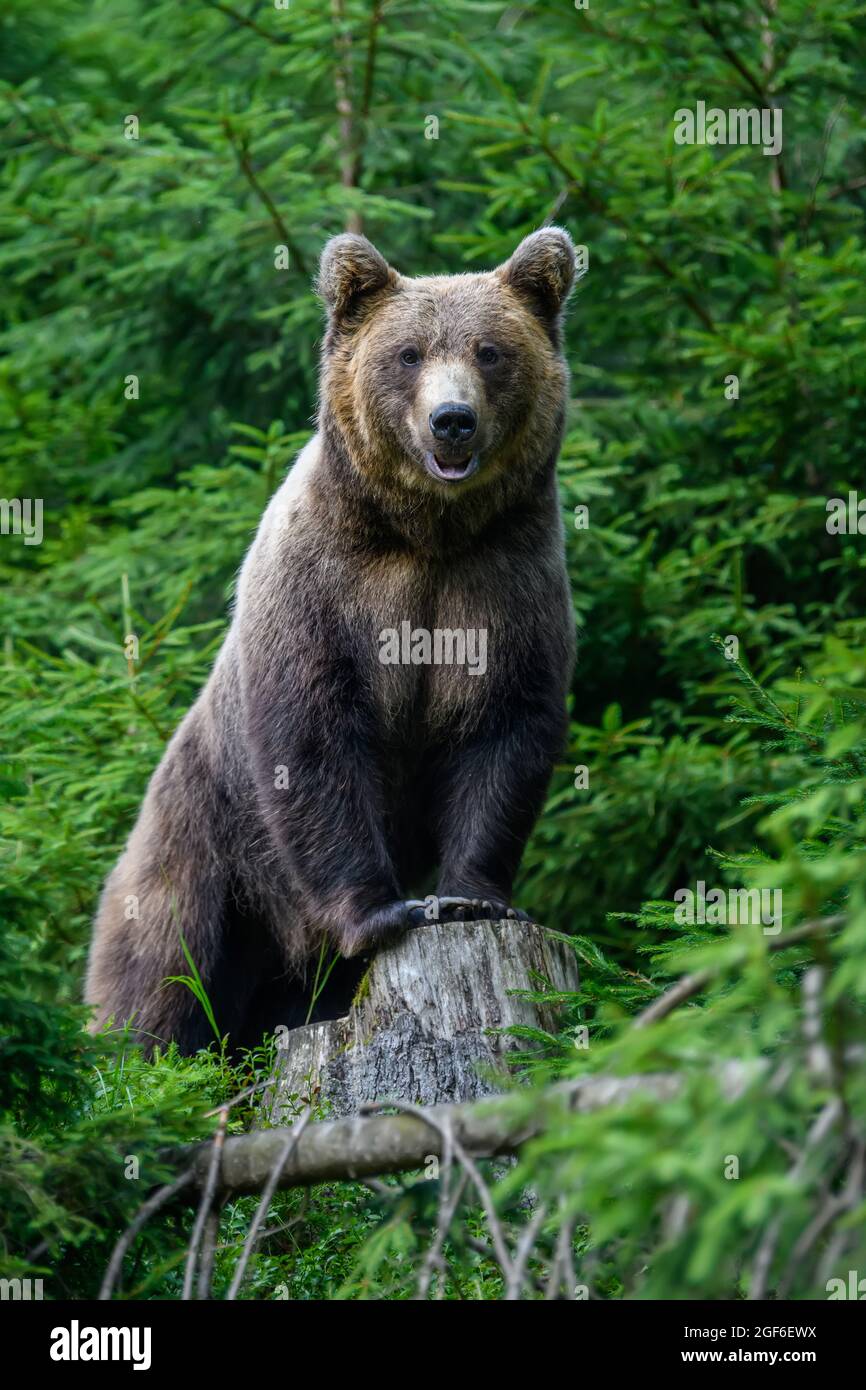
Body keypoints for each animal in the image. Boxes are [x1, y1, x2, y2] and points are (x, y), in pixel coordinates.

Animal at [85, 227, 578, 1055]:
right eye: (408, 353)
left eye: (489, 351)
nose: (452, 420)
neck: (427, 534)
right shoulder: (322, 591)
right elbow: (315, 743)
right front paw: (382, 911)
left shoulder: (505, 585)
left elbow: (503, 732)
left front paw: (473, 898)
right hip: (201, 852)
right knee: (159, 977)